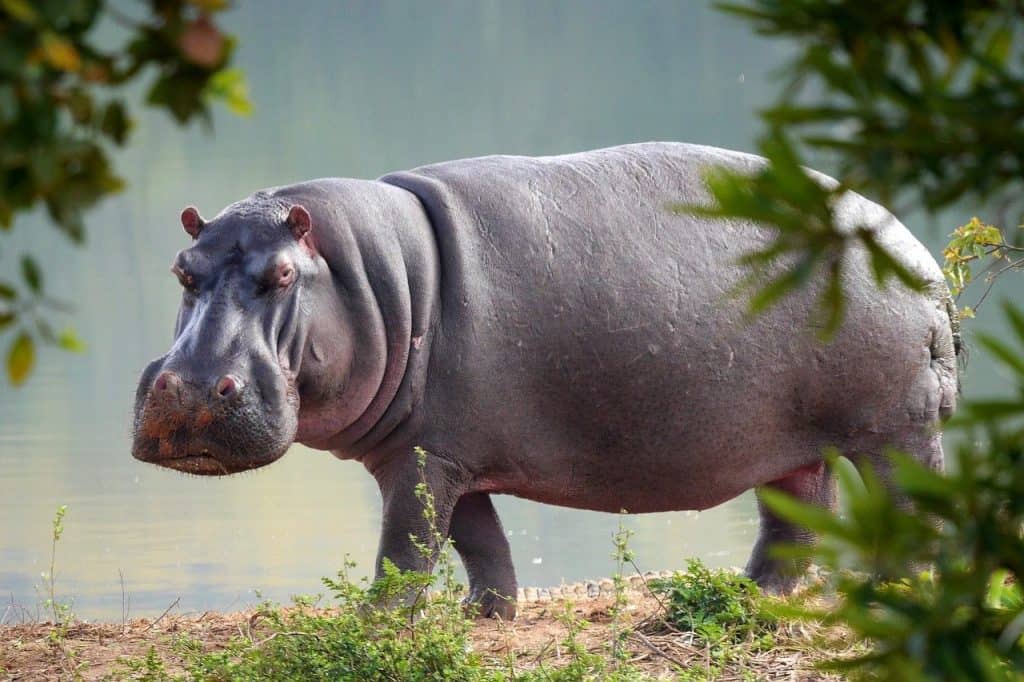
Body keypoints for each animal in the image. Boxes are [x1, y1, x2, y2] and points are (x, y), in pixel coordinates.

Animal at [132, 142, 959, 619]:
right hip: (794, 447)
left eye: (280, 275)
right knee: (794, 523)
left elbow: (405, 550)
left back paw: (898, 591)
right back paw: (749, 596)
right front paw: (483, 616)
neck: (371, 275)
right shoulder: (437, 452)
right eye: (180, 269)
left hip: (896, 430)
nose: (192, 390)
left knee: (911, 509)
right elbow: (478, 542)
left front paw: (375, 625)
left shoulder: (424, 460)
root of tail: (918, 255)